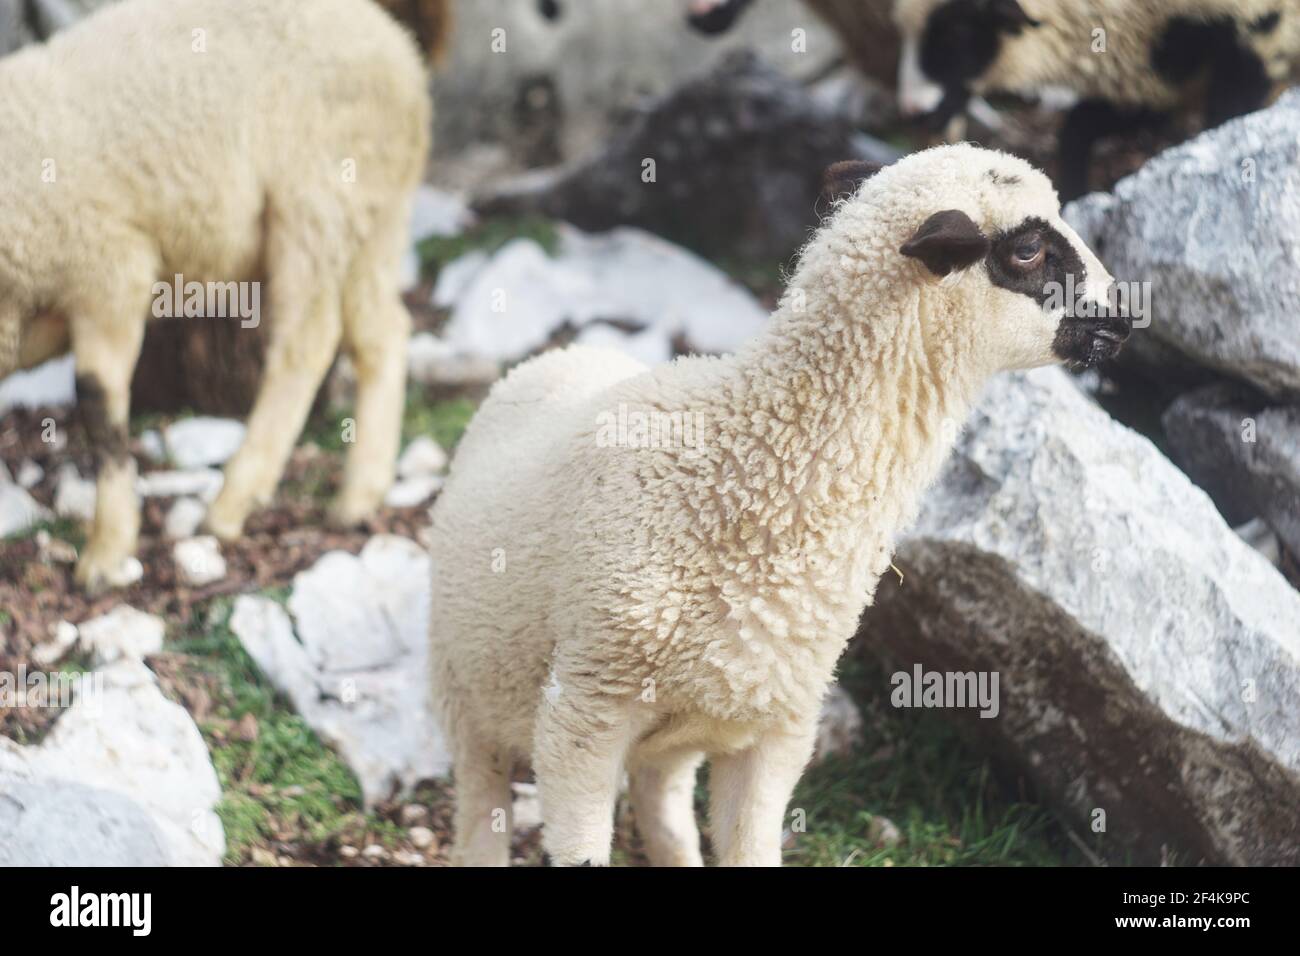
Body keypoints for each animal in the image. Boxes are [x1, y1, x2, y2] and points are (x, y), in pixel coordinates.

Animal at [0, 0, 430, 593]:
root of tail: (402, 52)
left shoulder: (107, 264)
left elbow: (97, 402)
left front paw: (107, 553)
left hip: (317, 197)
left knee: (308, 341)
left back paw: (232, 504)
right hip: (376, 212)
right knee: (382, 333)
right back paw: (358, 497)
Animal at [427, 142, 1129, 867]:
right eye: (1027, 251)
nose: (1124, 316)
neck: (752, 471)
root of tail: (561, 354)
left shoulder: (778, 726)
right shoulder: (583, 713)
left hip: (678, 729)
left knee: (661, 800)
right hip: (462, 685)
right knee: (480, 804)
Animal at [894, 0, 1299, 198]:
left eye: (957, 32)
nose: (913, 113)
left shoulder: (1260, 36)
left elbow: (1227, 119)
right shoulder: (1158, 71)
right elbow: (1079, 128)